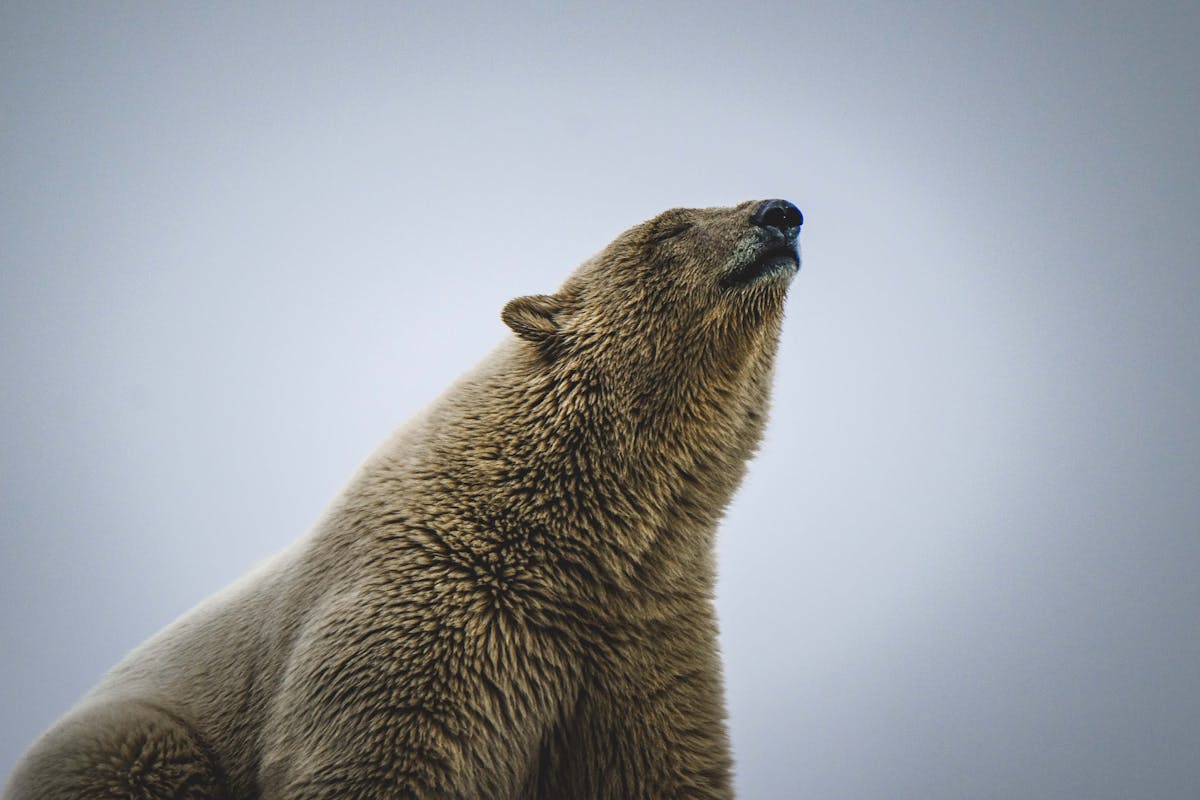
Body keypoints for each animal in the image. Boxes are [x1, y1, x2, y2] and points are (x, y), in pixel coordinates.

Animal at [4, 198, 804, 800]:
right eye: (668, 226)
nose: (781, 212)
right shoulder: (432, 613)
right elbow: (384, 757)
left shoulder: (640, 641)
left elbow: (656, 764)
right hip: (136, 738)